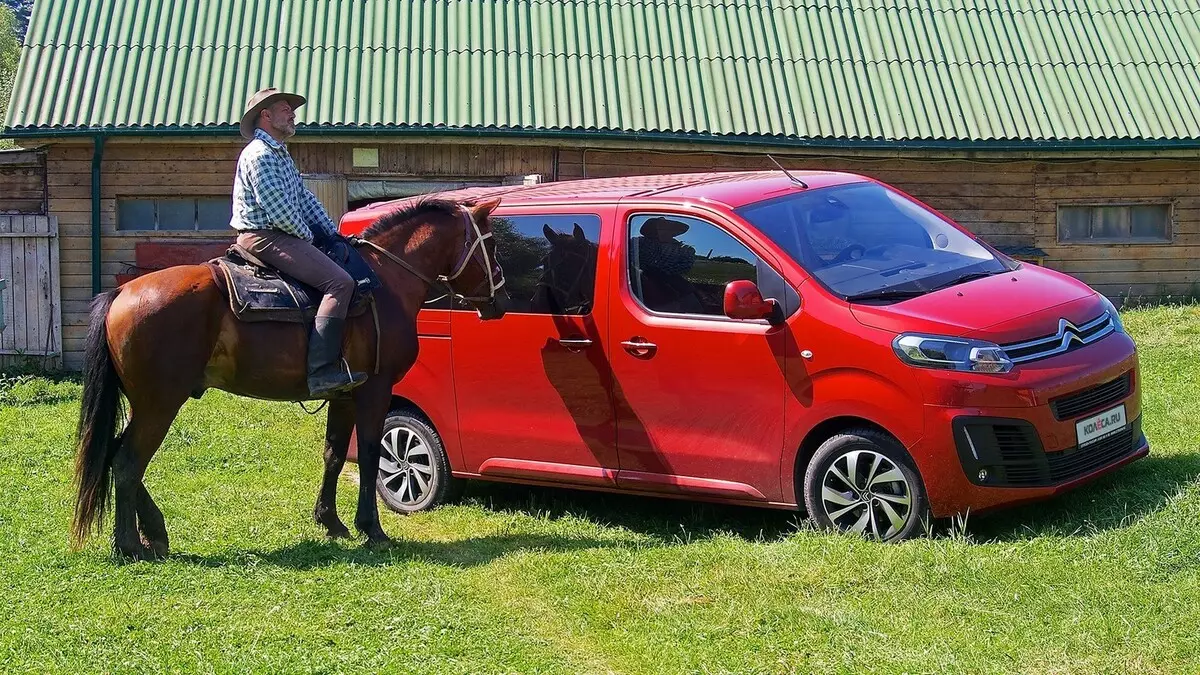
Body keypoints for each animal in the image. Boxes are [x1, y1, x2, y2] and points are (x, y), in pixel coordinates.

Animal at [71, 196, 506, 559]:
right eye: (492, 245)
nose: (500, 299)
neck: (386, 282)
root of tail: (122, 293)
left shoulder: (344, 394)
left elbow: (334, 454)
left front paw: (330, 521)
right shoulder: (375, 391)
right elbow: (369, 454)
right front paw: (373, 529)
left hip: (145, 404)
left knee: (115, 454)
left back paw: (153, 534)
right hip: (160, 404)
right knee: (127, 461)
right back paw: (130, 544)